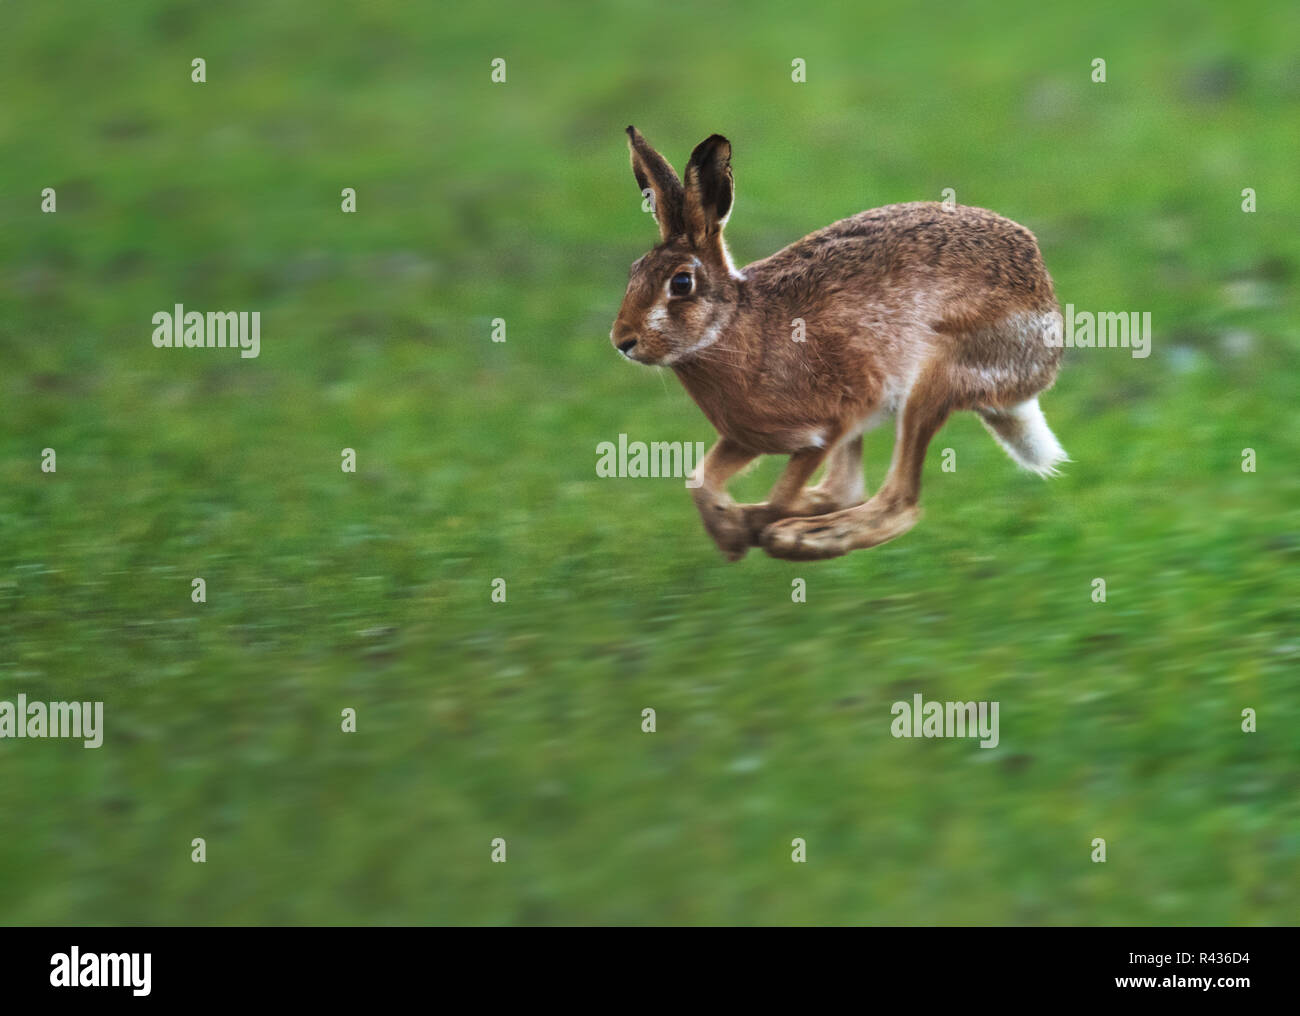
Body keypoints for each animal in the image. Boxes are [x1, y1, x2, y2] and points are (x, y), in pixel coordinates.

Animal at [611, 126, 1067, 561]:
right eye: (634, 271)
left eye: (681, 283)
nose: (622, 341)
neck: (731, 327)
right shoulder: (747, 437)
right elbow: (700, 480)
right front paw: (731, 536)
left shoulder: (835, 419)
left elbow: (785, 493)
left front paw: (752, 529)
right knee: (848, 490)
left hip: (935, 379)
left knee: (897, 503)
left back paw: (797, 538)